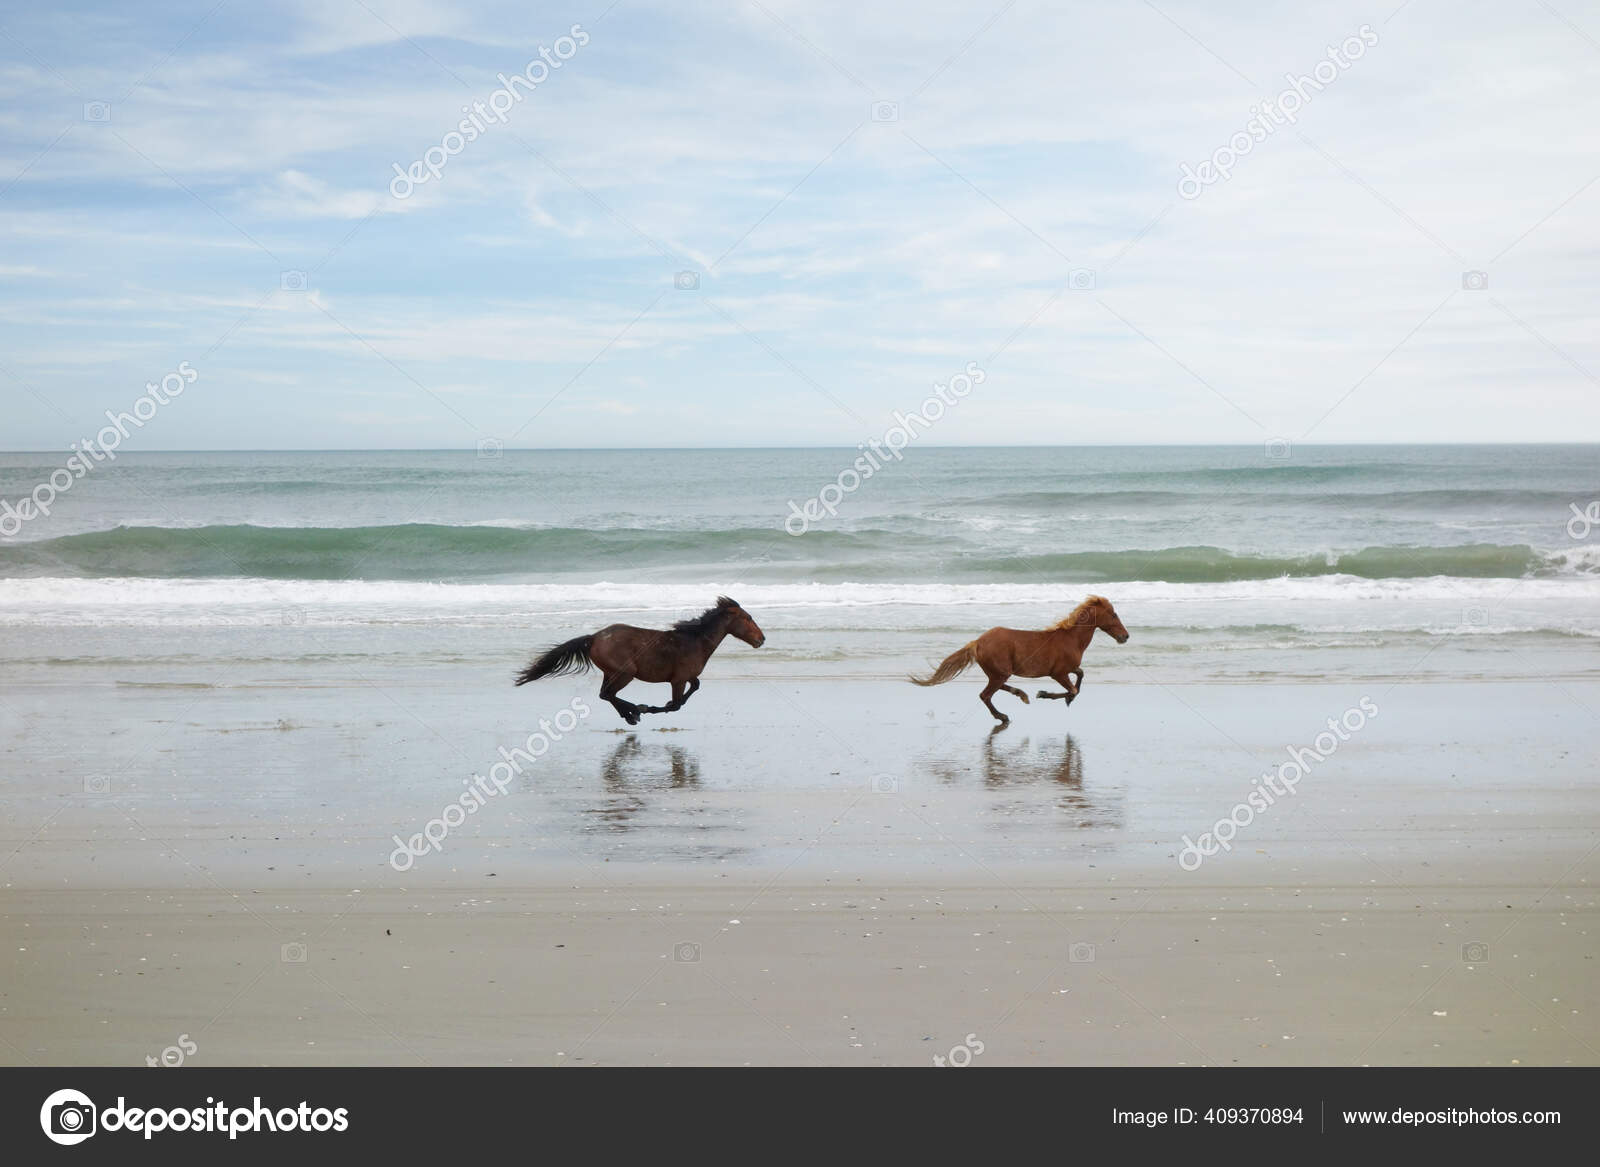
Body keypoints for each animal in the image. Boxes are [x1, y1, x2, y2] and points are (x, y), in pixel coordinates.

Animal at [514, 596, 765, 725]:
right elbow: (676, 705)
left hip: (611, 673)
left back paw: (630, 715)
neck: (694, 641)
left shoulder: (688, 677)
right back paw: (635, 711)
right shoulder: (678, 679)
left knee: (605, 694)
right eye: (748, 618)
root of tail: (593, 637)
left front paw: (655, 706)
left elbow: (693, 689)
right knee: (608, 694)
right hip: (625, 673)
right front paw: (651, 708)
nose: (761, 639)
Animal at [909, 595, 1129, 727]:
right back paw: (1003, 716)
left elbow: (1081, 676)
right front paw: (1046, 694)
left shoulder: (1069, 669)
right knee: (985, 695)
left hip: (998, 673)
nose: (1125, 637)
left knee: (996, 689)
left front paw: (1060, 697)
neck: (1071, 639)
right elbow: (1073, 689)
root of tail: (977, 642)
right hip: (1000, 672)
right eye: (1113, 614)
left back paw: (1021, 694)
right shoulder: (1058, 673)